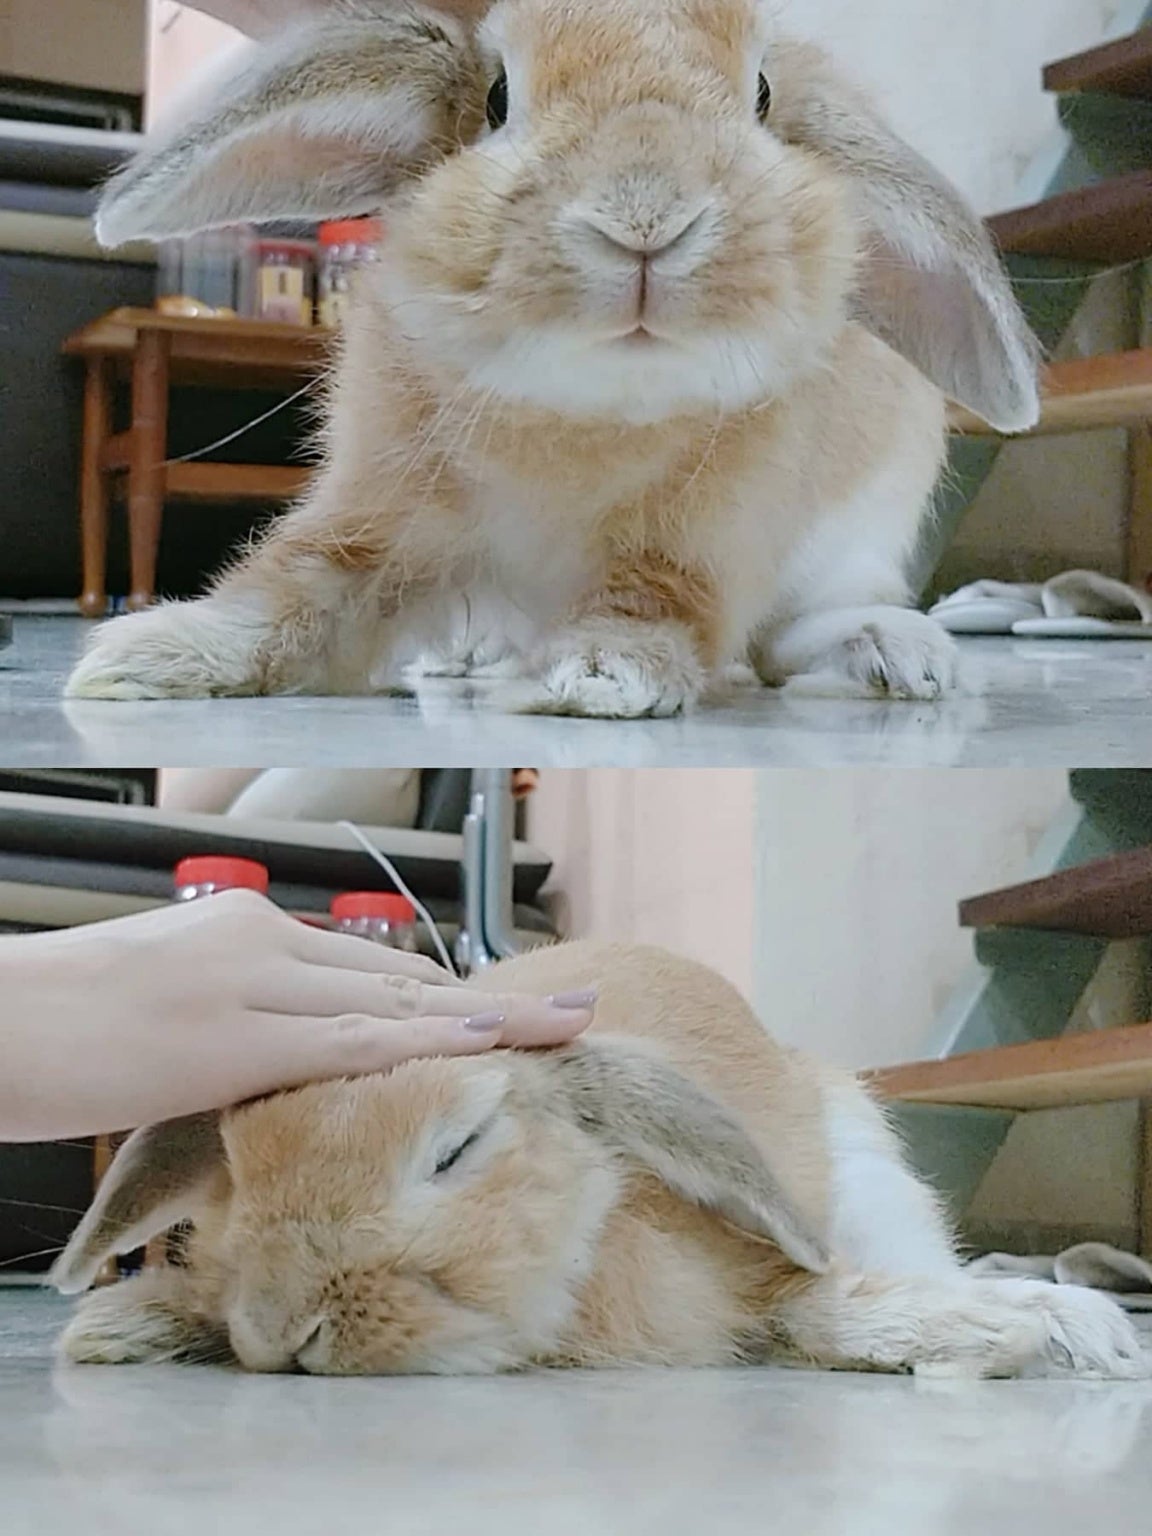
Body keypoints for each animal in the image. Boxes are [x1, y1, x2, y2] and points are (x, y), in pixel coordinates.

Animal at [53, 941, 1145, 1380]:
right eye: (235, 1164)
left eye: (459, 1149)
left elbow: (805, 1309)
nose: (280, 1329)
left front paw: (1005, 1331)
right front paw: (118, 1327)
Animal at [64, 0, 1039, 718]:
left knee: (792, 634)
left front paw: (608, 675)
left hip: (862, 534)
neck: (584, 412)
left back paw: (896, 655)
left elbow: (655, 601)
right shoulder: (378, 514)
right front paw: (146, 657)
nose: (645, 217)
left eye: (761, 94)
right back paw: (457, 658)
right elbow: (295, 590)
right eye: (498, 98)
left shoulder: (700, 542)